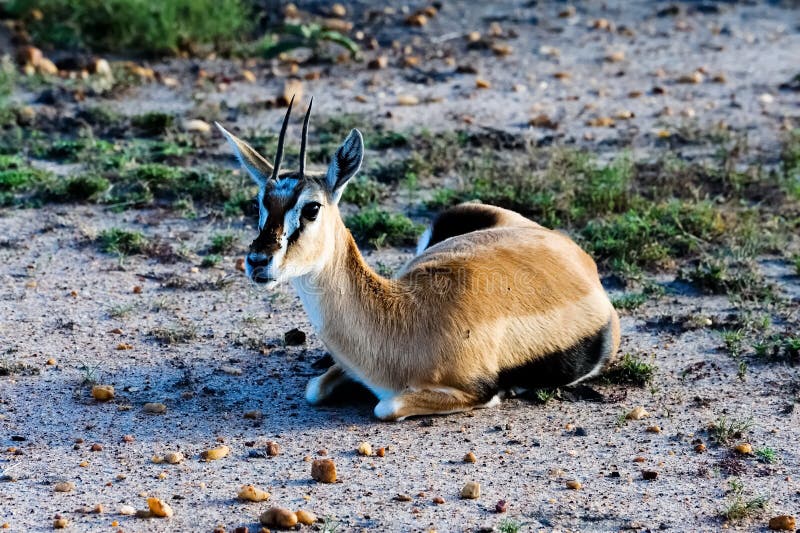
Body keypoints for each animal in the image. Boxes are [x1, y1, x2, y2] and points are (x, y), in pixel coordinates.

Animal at [216, 97, 620, 421]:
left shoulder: (469, 391)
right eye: (259, 203)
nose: (257, 260)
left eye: (312, 207)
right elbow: (316, 388)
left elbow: (387, 406)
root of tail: (573, 252)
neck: (405, 317)